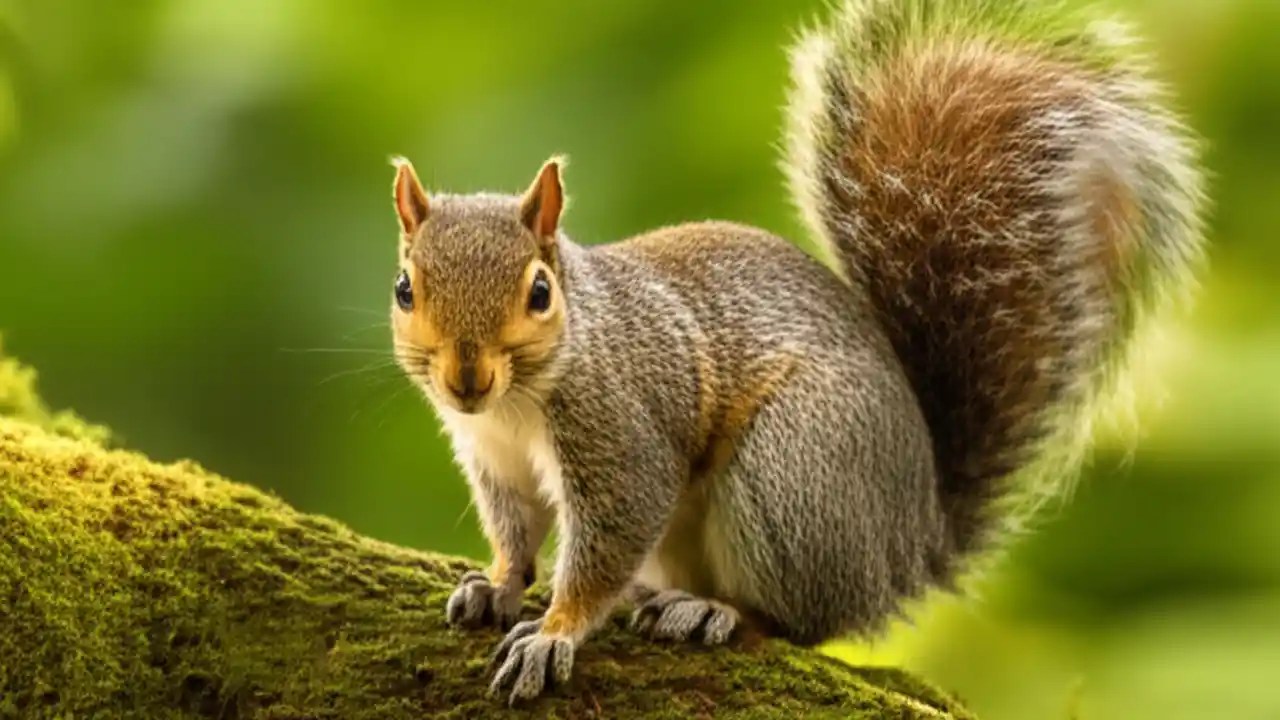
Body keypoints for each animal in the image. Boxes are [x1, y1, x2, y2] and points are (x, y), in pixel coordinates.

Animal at [388, 0, 1205, 706]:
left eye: (539, 292)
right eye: (404, 287)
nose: (466, 379)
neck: (516, 404)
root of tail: (912, 545)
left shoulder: (623, 431)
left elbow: (608, 541)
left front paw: (554, 633)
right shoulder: (495, 458)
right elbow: (516, 530)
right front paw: (498, 584)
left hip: (793, 473)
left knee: (801, 619)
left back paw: (716, 613)